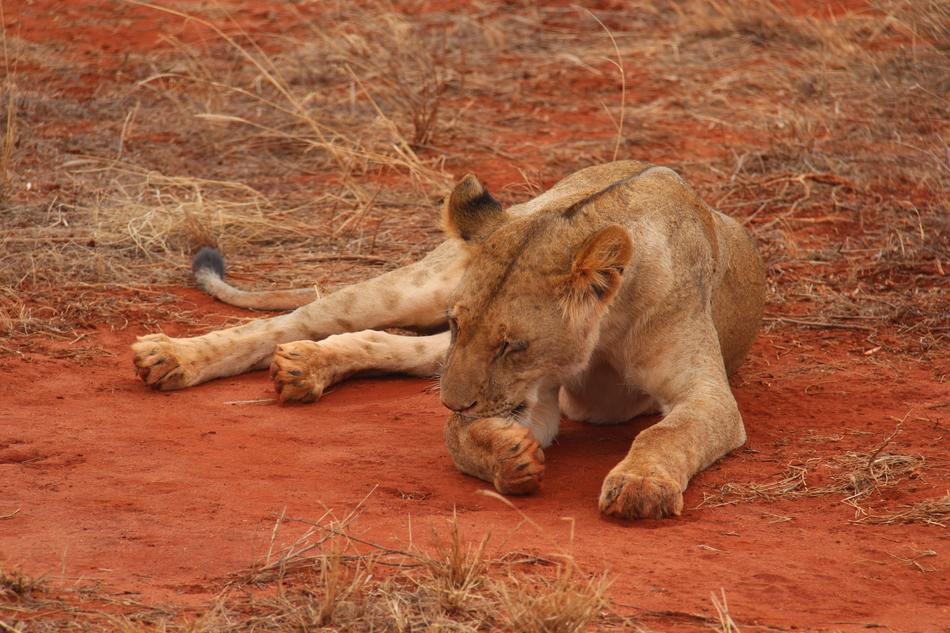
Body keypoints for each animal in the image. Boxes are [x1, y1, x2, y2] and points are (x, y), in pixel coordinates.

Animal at [132, 160, 766, 519]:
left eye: (513, 345)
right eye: (461, 323)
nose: (452, 401)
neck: (602, 333)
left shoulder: (709, 396)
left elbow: (667, 432)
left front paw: (639, 485)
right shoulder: (524, 392)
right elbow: (457, 435)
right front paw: (505, 455)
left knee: (386, 344)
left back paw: (304, 367)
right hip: (415, 286)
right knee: (298, 318)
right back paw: (171, 356)